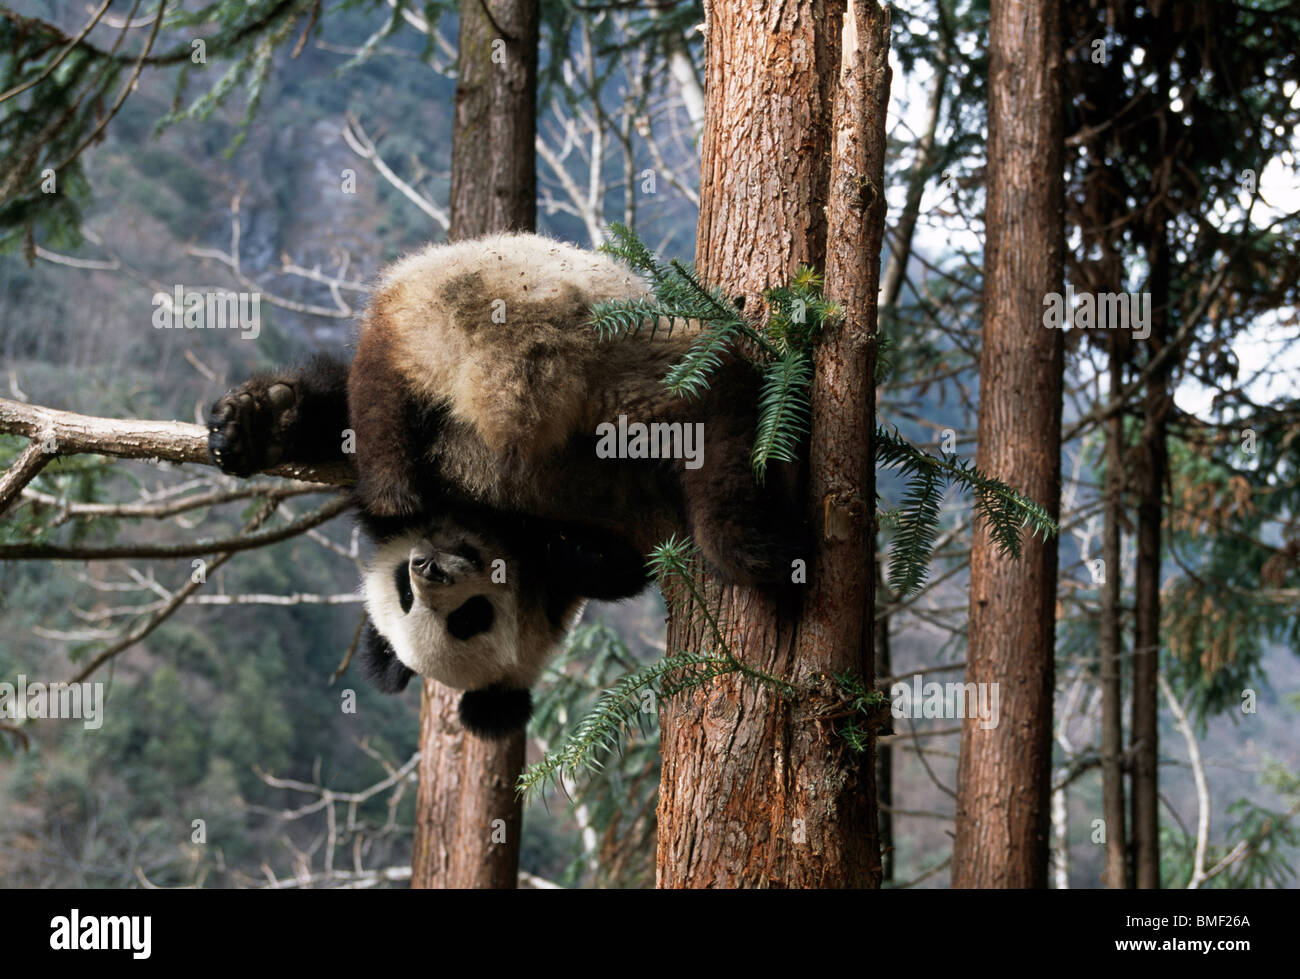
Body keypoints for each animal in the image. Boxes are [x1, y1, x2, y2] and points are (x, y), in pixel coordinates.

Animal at [207, 233, 806, 736]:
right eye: (407, 595)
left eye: (469, 619)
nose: (427, 565)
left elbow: (610, 567)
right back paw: (262, 422)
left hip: (582, 332)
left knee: (710, 411)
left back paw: (754, 546)